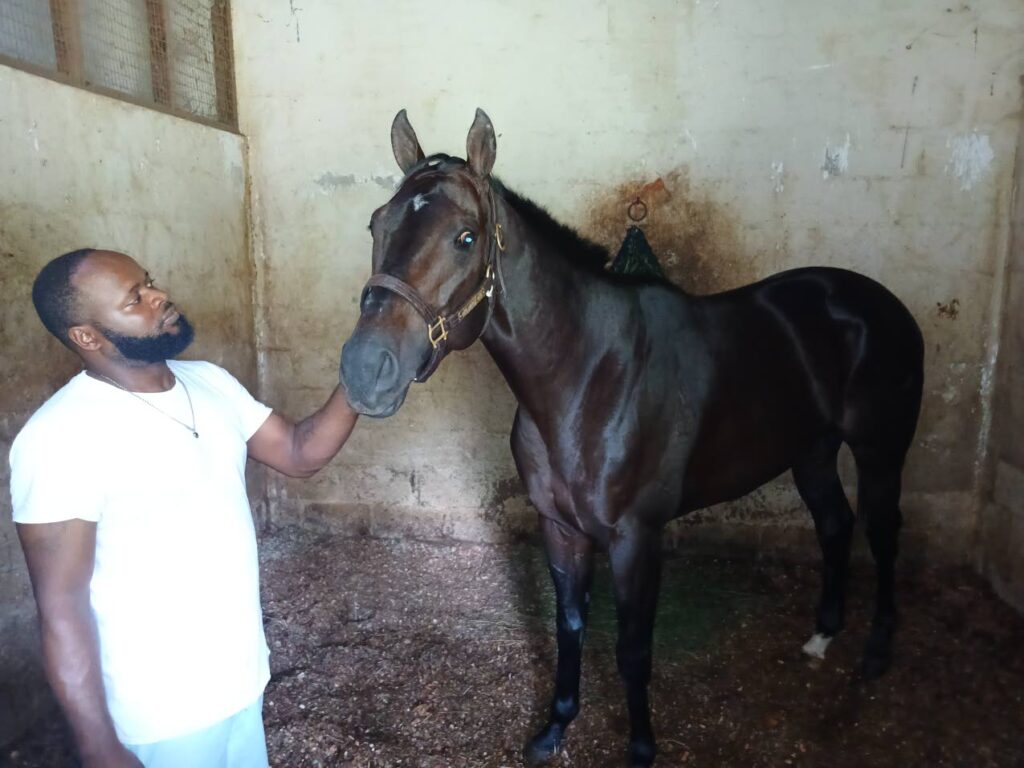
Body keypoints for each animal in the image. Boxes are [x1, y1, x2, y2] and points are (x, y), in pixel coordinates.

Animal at [339, 109, 924, 767]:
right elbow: (569, 625)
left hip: (880, 451)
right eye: (376, 223)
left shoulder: (635, 539)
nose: (366, 369)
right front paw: (555, 727)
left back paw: (876, 651)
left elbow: (632, 647)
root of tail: (879, 304)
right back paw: (823, 635)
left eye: (466, 237)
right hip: (812, 452)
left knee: (882, 532)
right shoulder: (561, 528)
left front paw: (641, 746)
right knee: (835, 525)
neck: (587, 376)